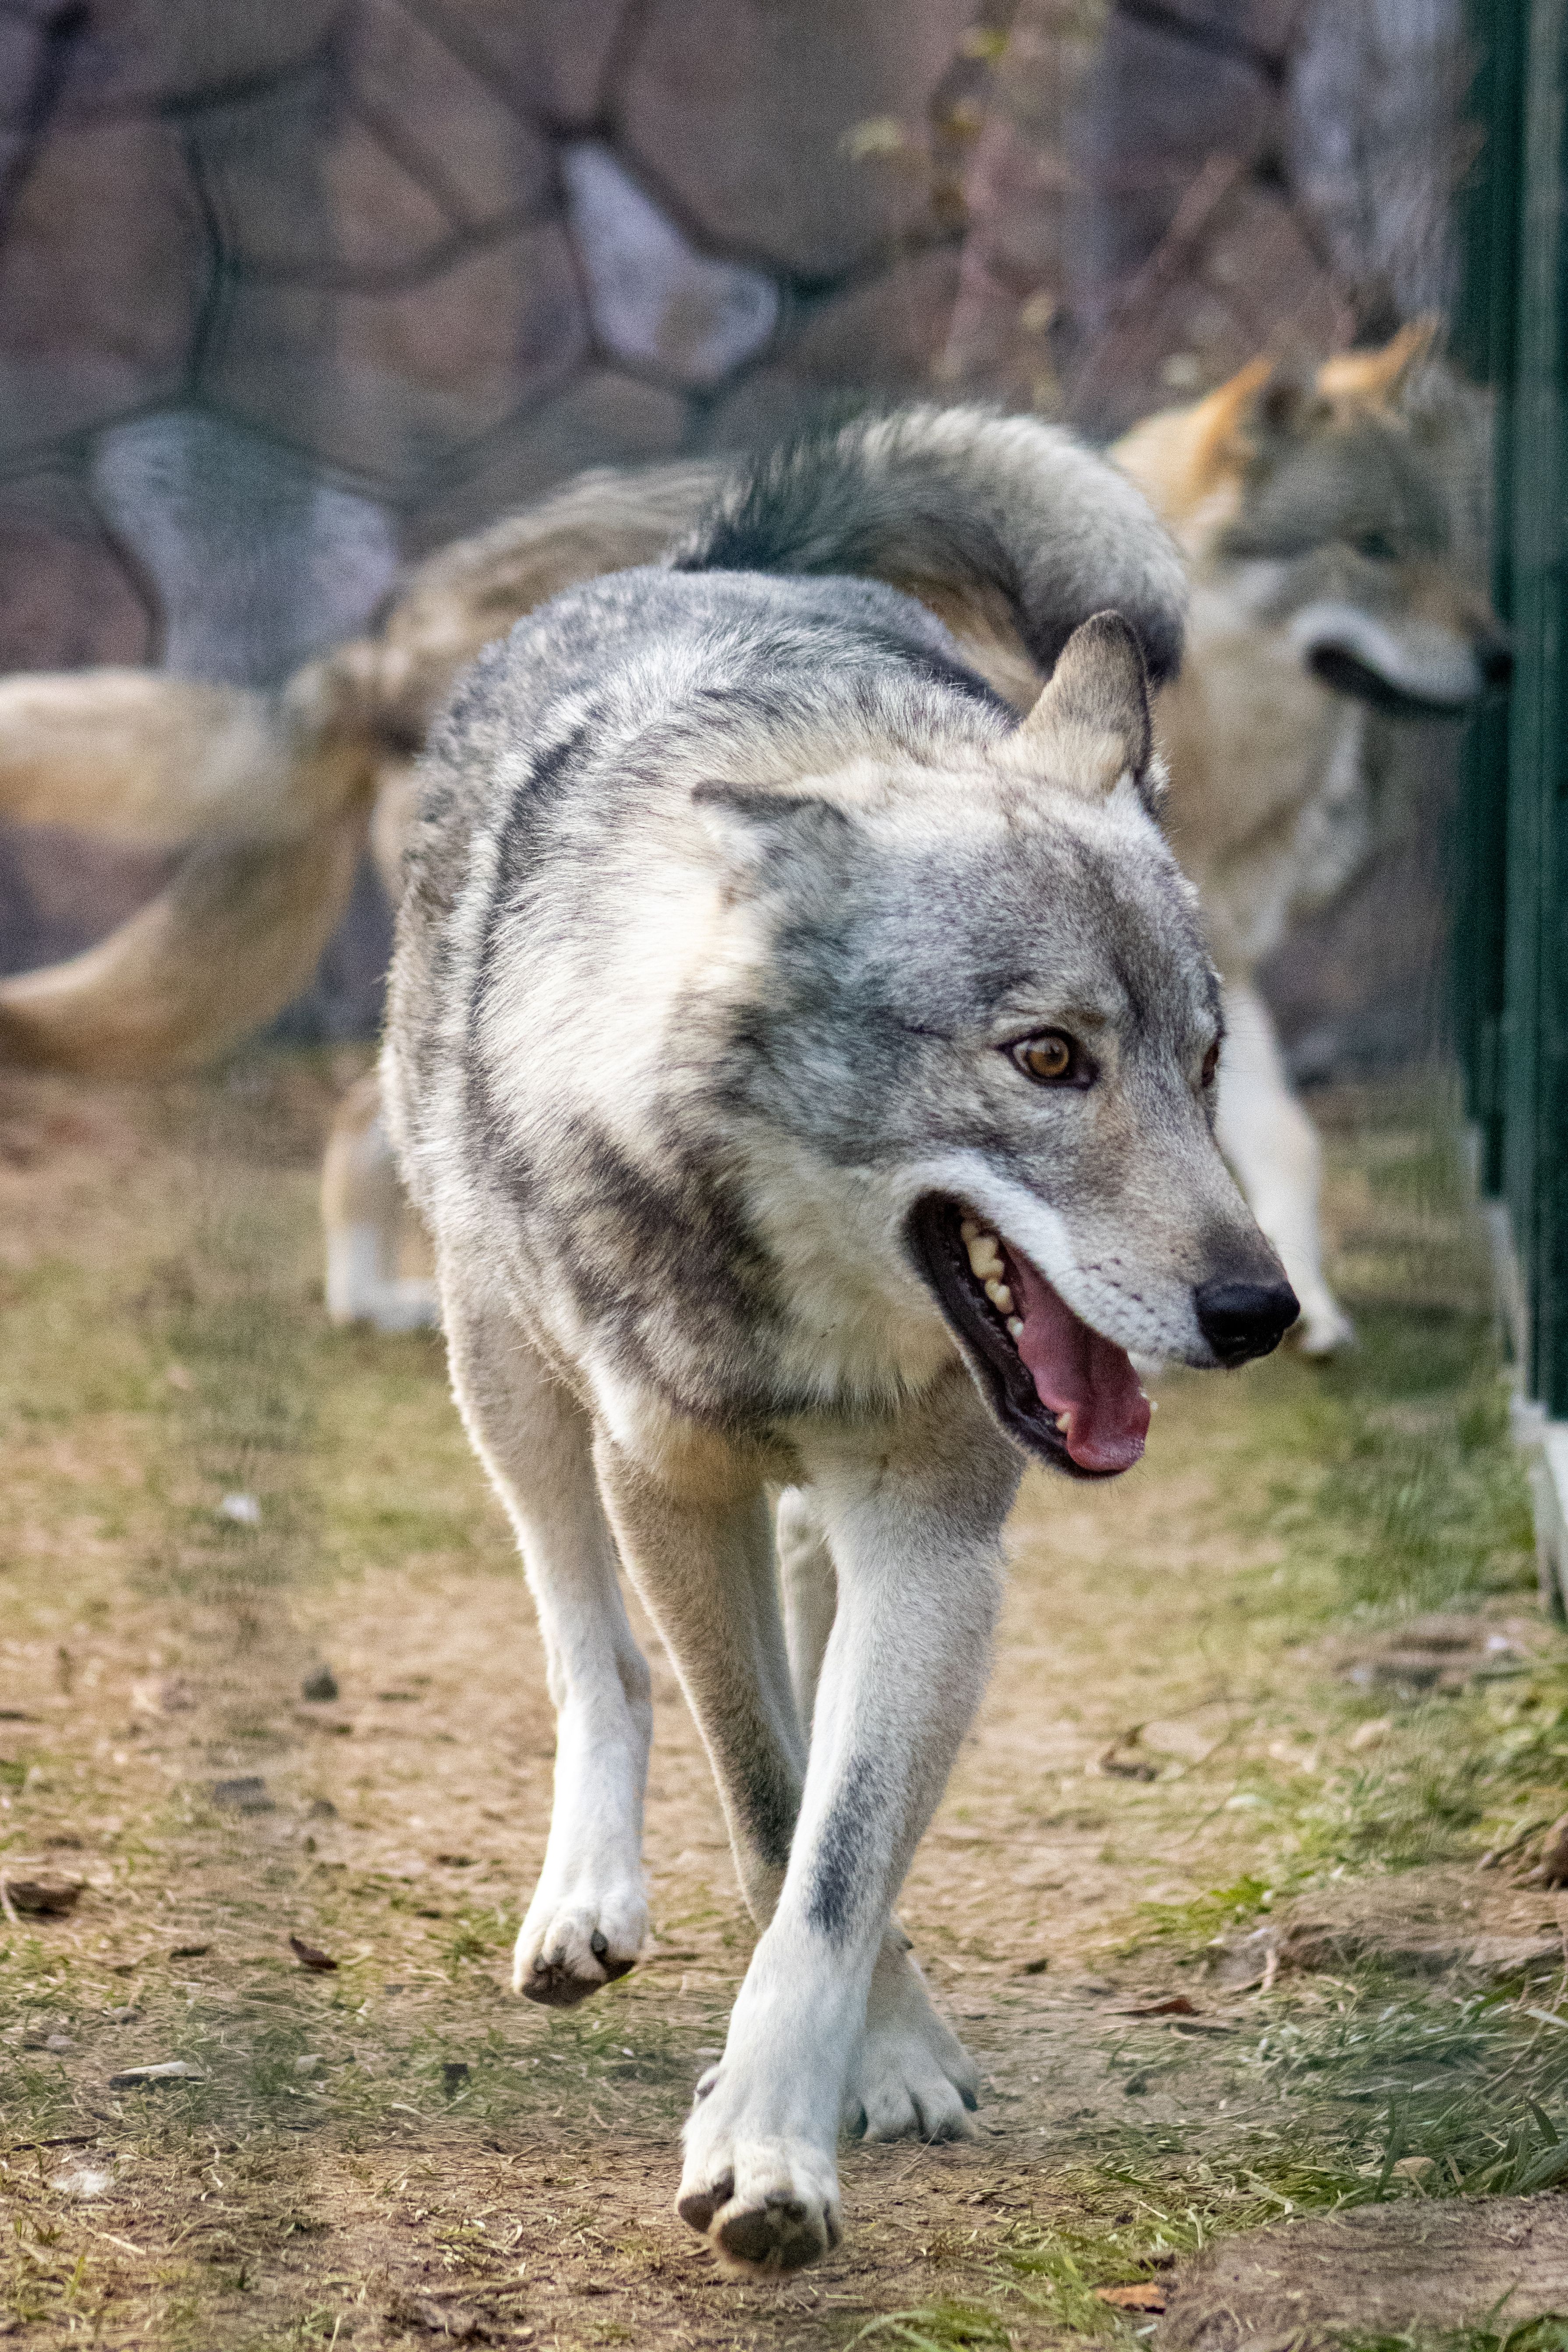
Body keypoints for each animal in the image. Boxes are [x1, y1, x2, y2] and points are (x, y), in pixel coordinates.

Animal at [0, 328, 1501, 1355]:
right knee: (373, 1126)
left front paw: (1304, 1305)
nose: (1498, 657)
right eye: (1371, 549)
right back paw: (390, 1298)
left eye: (1448, 546)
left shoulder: (1207, 986)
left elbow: (1274, 1145)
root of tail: (400, 619)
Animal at [380, 407, 1297, 2273]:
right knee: (593, 1646)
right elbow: (760, 1798)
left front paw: (797, 2127)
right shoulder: (675, 1488)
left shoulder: (934, 1542)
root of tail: (711, 558)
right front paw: (804, 2099)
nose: (1257, 1311)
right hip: (506, 1379)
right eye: (1046, 1059)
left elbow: (836, 1849)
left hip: (807, 1515)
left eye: (1200, 1062)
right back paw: (583, 1901)